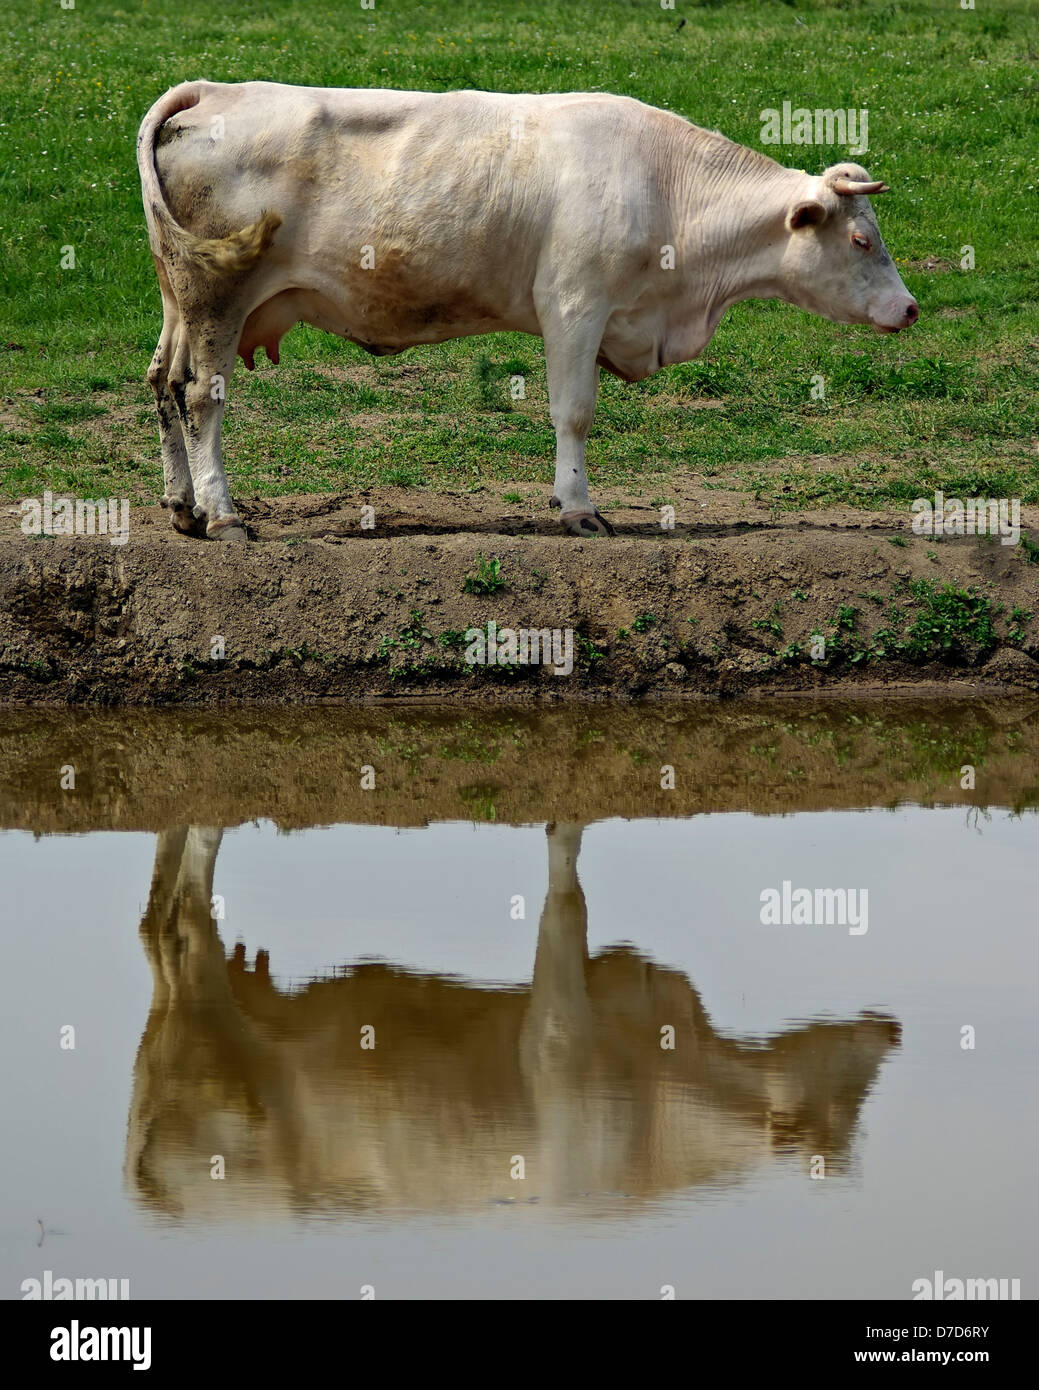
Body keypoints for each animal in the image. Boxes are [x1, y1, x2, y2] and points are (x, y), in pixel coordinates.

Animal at [138, 83, 918, 542]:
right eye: (860, 239)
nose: (909, 308)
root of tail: (214, 92)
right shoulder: (574, 303)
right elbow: (573, 411)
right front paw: (576, 506)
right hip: (219, 297)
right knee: (201, 397)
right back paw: (223, 515)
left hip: (180, 302)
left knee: (163, 383)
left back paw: (182, 506)